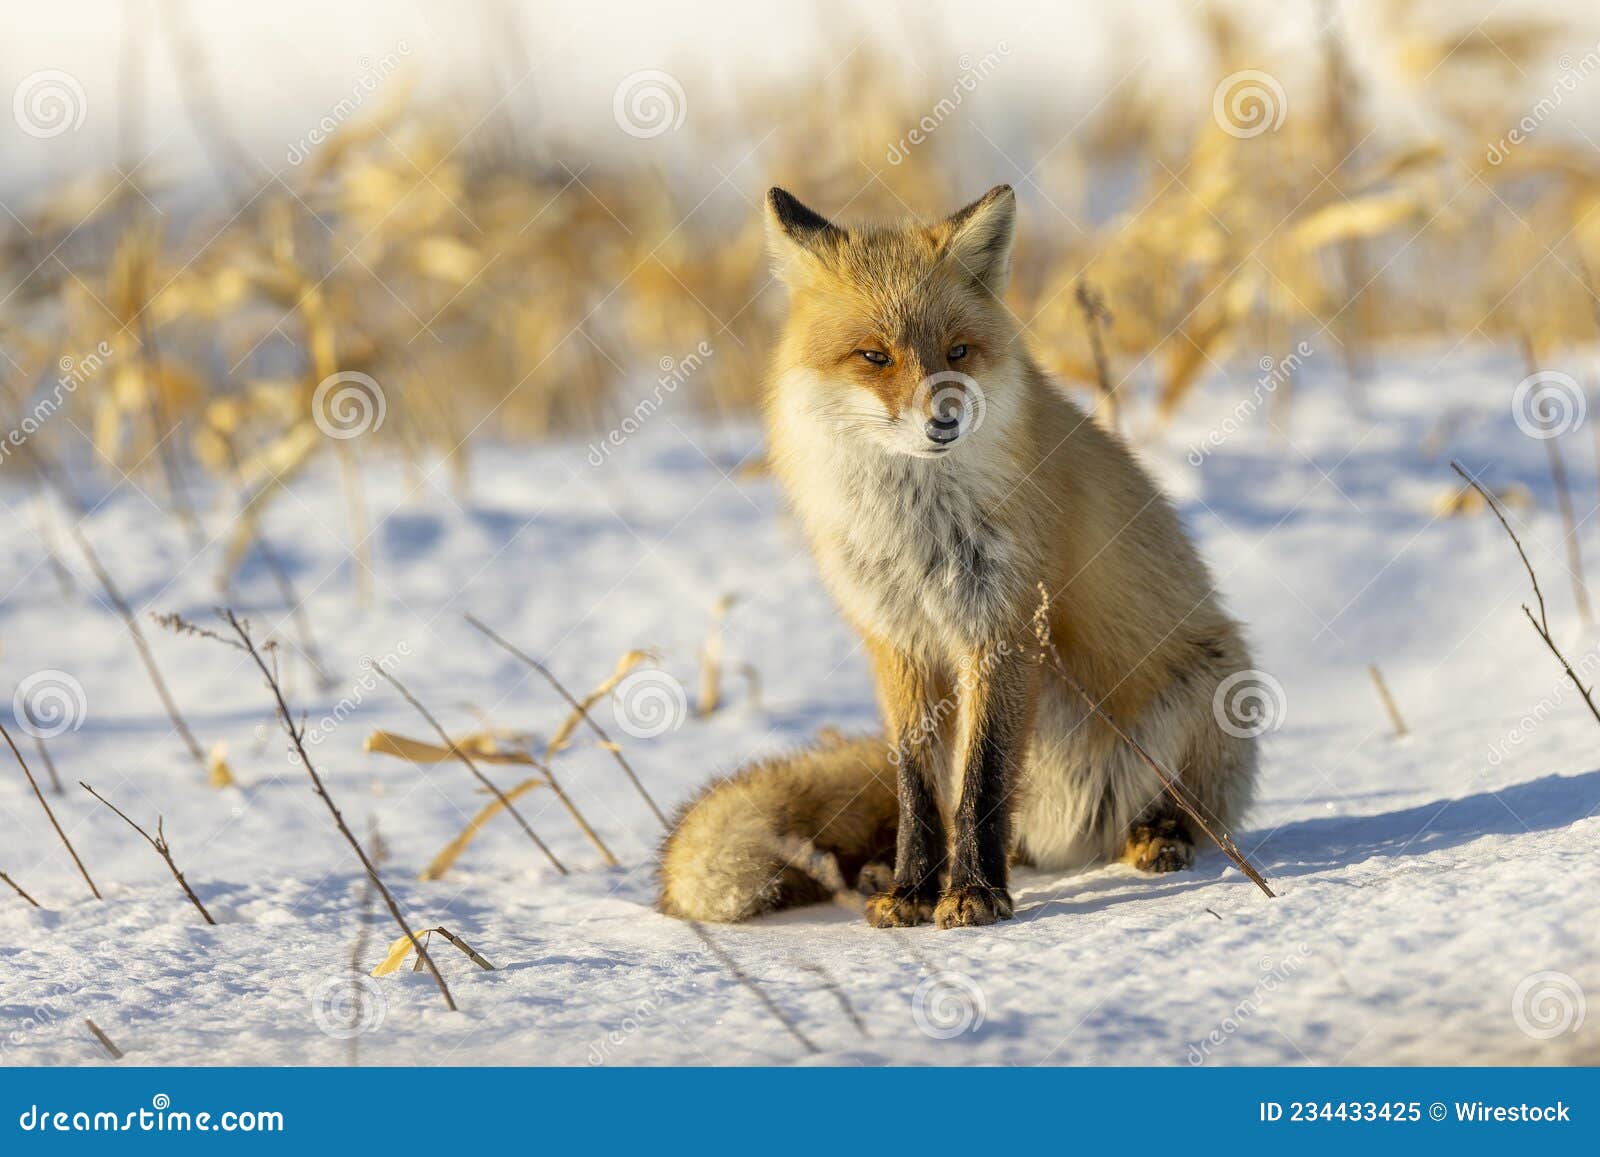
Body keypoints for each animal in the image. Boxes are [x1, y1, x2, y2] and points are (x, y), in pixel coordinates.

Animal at [658, 184, 1258, 929]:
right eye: (875, 356)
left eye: (959, 350)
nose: (944, 417)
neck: (917, 530)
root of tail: (1064, 838)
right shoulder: (898, 642)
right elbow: (920, 787)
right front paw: (914, 889)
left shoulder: (1002, 629)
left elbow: (983, 779)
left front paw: (973, 892)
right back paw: (895, 868)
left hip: (1205, 687)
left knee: (1188, 813)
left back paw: (1155, 834)